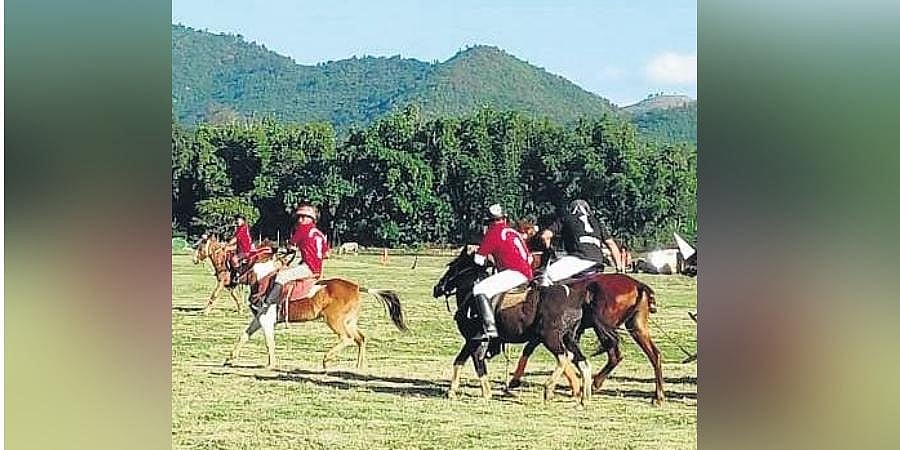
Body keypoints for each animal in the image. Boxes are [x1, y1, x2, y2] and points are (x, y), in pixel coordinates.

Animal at [224, 255, 408, 371]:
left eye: (236, 269)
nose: (227, 284)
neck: (264, 280)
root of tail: (356, 287)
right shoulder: (258, 318)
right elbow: (244, 335)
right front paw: (230, 358)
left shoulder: (266, 319)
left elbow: (269, 342)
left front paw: (270, 364)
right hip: (349, 322)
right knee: (361, 338)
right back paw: (359, 366)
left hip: (334, 320)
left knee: (347, 338)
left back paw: (327, 359)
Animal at [432, 246, 592, 407]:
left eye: (452, 266)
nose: (437, 288)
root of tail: (574, 300)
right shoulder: (471, 341)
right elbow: (459, 361)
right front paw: (452, 391)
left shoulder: (475, 340)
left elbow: (478, 365)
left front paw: (486, 394)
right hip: (568, 337)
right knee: (581, 361)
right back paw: (584, 397)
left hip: (550, 337)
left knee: (564, 356)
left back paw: (548, 389)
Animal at [507, 271, 666, 404]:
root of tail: (638, 285)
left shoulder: (547, 333)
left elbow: (537, 349)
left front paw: (515, 380)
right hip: (637, 327)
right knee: (654, 355)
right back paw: (658, 397)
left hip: (603, 327)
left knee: (615, 355)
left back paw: (596, 383)